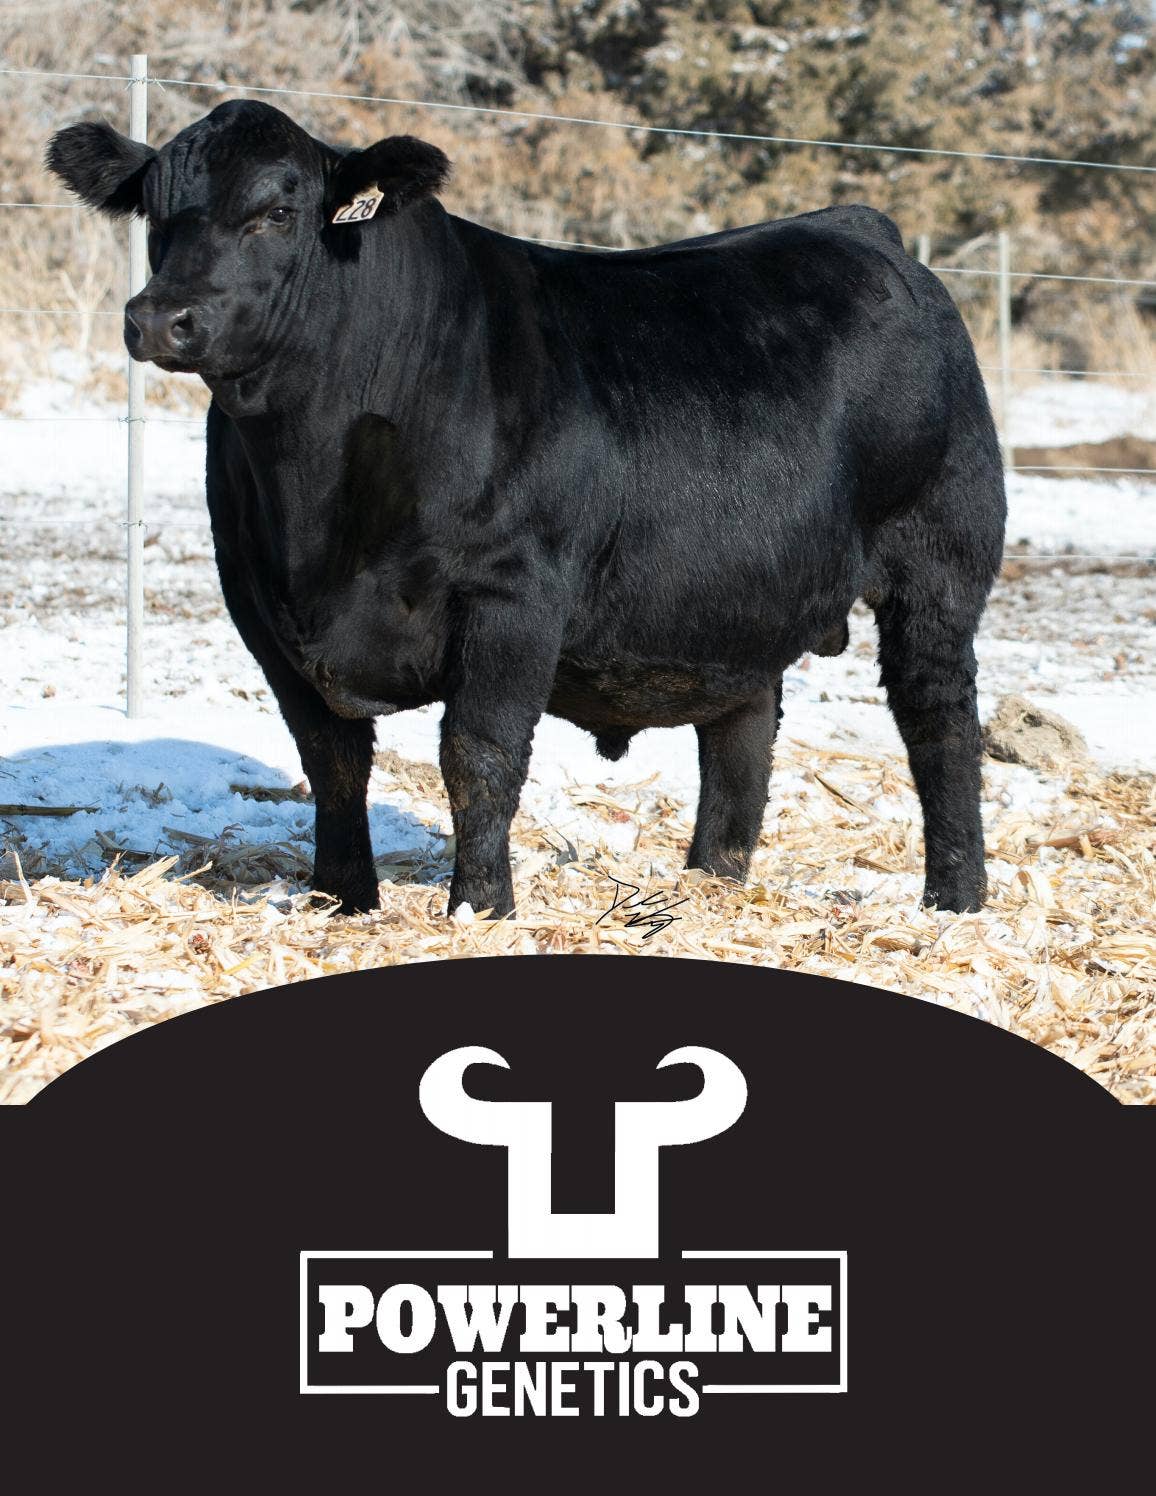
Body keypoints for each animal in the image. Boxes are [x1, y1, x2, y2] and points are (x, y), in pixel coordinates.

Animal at [47, 100, 1005, 919]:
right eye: (154, 216)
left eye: (278, 211)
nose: (161, 318)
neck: (314, 494)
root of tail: (856, 225)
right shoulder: (260, 604)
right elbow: (331, 758)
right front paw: (341, 900)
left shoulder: (513, 593)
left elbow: (479, 755)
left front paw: (480, 907)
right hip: (737, 600)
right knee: (742, 735)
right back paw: (710, 885)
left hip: (937, 563)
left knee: (939, 720)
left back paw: (954, 898)